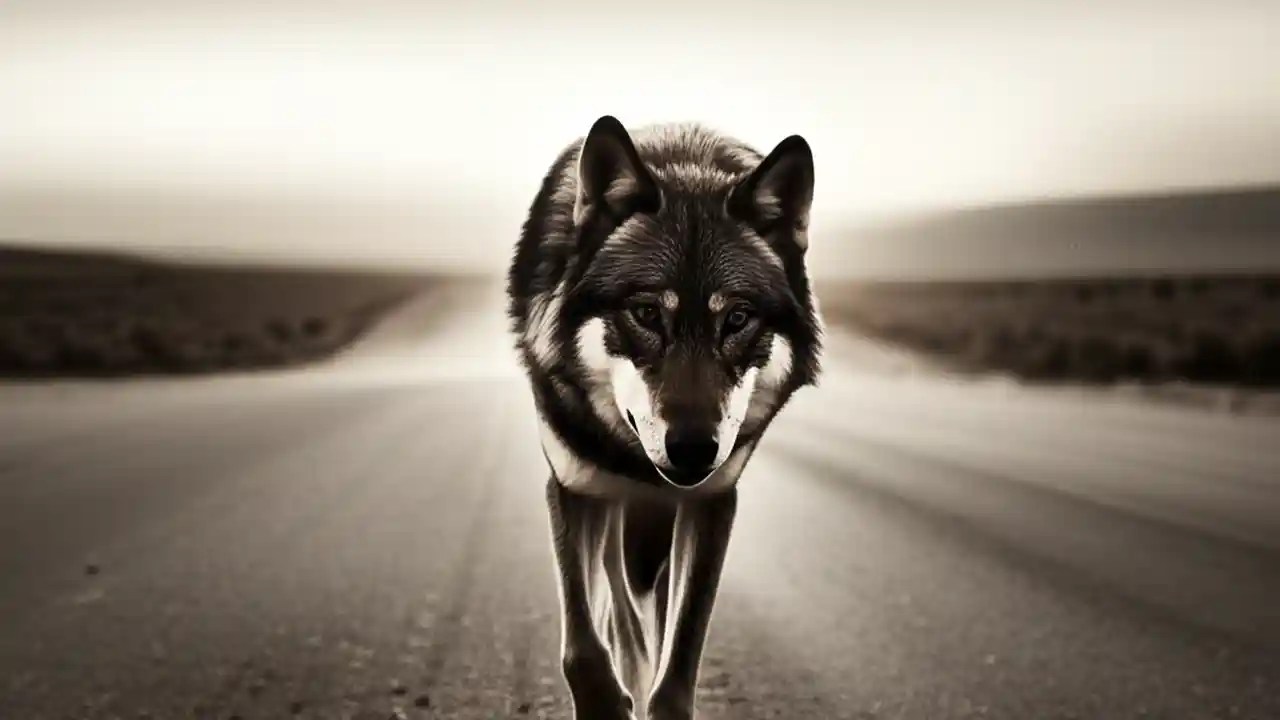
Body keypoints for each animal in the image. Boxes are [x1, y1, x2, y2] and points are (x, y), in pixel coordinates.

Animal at [506, 115, 822, 719]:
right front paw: (608, 702)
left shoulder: (711, 502)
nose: (694, 448)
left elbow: (678, 664)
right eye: (648, 313)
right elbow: (583, 646)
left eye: (737, 319)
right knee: (619, 604)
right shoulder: (573, 486)